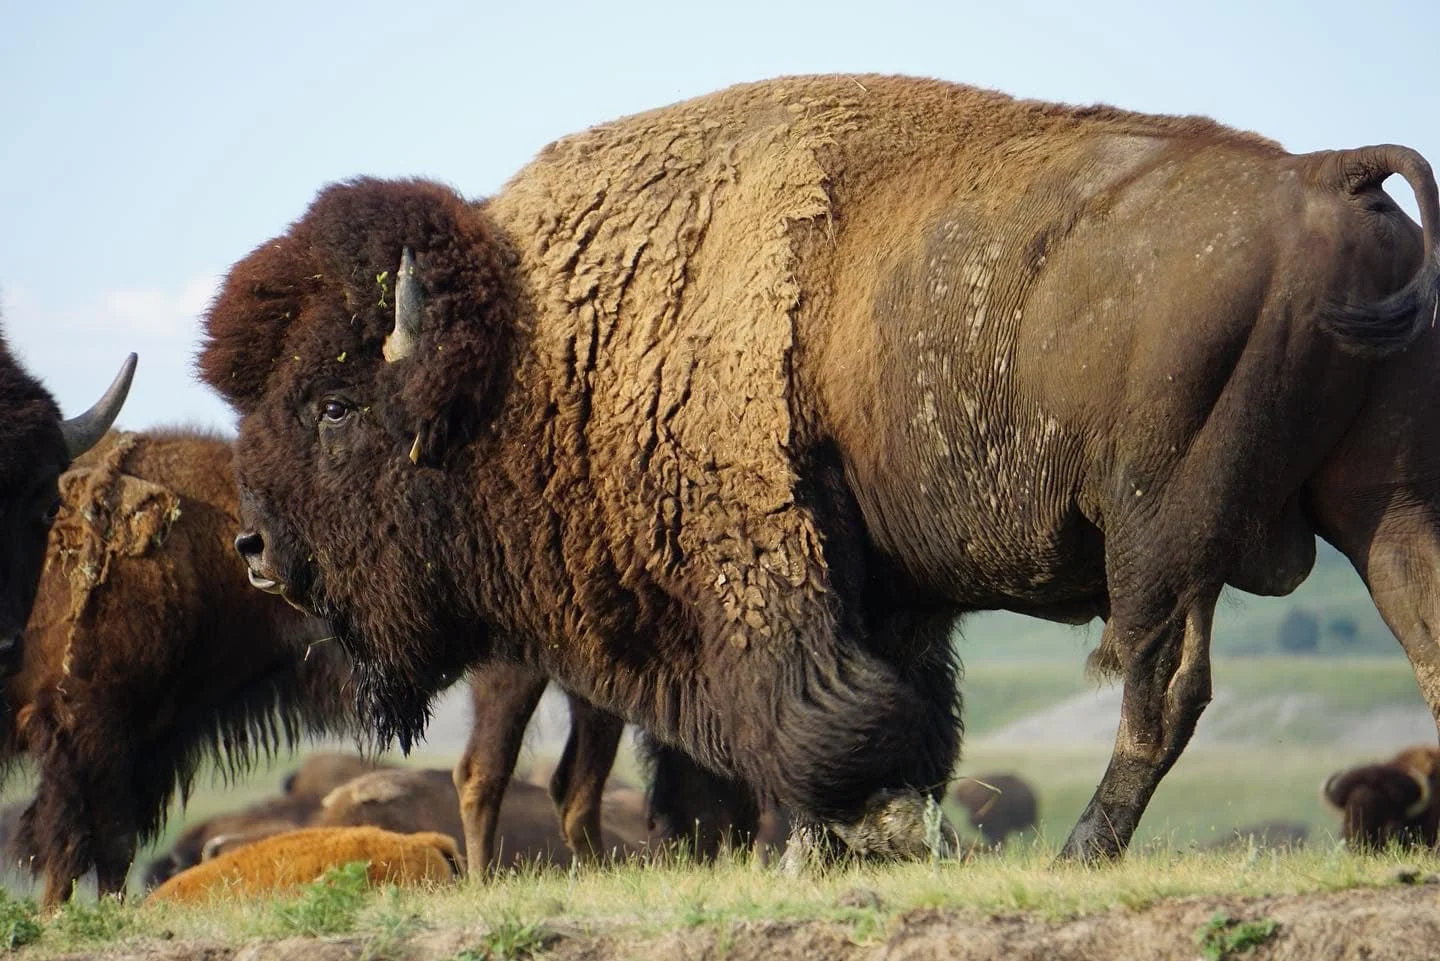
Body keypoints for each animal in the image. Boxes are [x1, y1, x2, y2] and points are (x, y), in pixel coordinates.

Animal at [199, 74, 1440, 862]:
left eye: (335, 404)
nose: (255, 546)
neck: (543, 342)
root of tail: (1326, 176)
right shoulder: (875, 594)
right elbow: (878, 719)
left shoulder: (763, 565)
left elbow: (805, 718)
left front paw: (817, 844)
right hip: (1380, 503)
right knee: (1417, 627)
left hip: (1165, 536)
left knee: (1160, 689)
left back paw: (1086, 850)